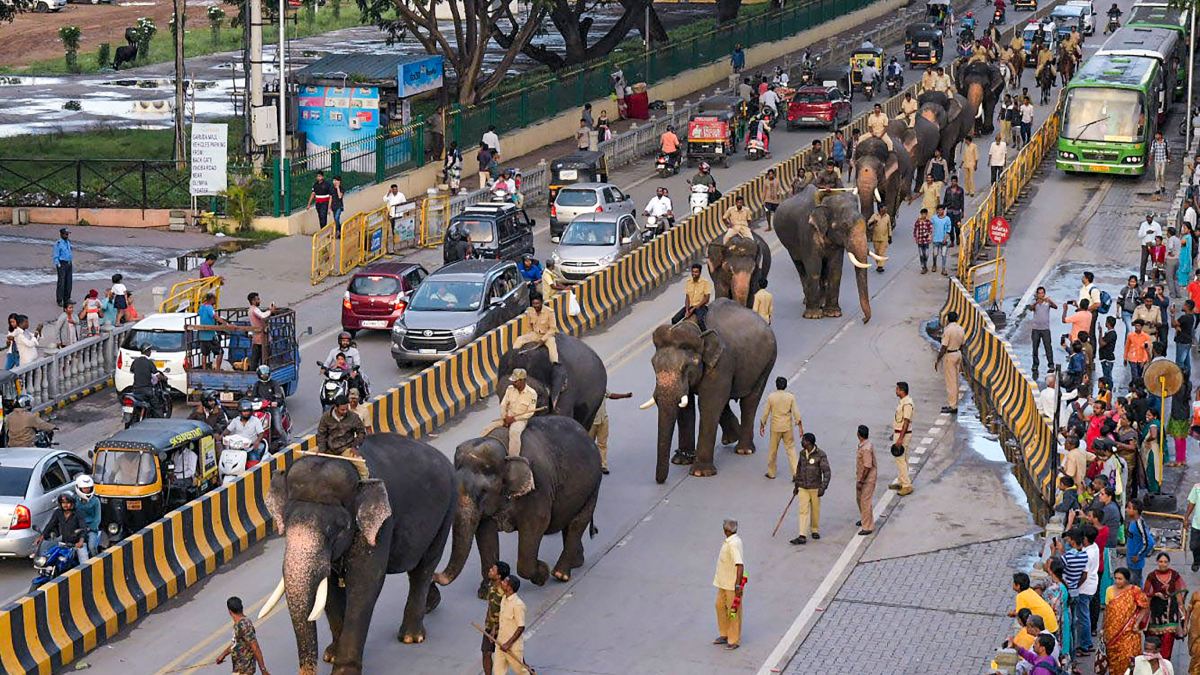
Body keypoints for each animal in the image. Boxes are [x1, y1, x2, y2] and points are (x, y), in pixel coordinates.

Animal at [262, 437, 456, 675]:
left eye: (336, 530)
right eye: (286, 525)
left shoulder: (380, 525)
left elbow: (365, 583)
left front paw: (343, 670)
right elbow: (331, 589)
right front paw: (331, 656)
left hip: (447, 511)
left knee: (424, 567)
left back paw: (411, 637)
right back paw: (431, 604)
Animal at [433, 415, 602, 596]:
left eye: (484, 491)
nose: (434, 576)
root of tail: (586, 434)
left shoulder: (538, 487)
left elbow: (536, 524)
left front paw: (541, 572)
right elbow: (485, 533)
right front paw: (487, 591)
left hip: (593, 485)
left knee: (578, 522)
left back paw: (560, 574)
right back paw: (576, 562)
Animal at [641, 298, 777, 482]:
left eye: (685, 367)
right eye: (653, 365)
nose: (660, 481)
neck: (696, 328)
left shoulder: (721, 363)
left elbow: (708, 404)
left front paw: (700, 473)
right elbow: (686, 407)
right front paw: (682, 460)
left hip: (767, 362)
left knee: (750, 401)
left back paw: (743, 449)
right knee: (726, 401)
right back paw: (732, 437)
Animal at [775, 185, 879, 323]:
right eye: (844, 225)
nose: (863, 320)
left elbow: (835, 269)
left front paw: (833, 313)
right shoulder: (808, 233)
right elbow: (814, 269)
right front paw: (813, 316)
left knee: (823, 269)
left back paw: (822, 303)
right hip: (790, 246)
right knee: (801, 267)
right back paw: (808, 302)